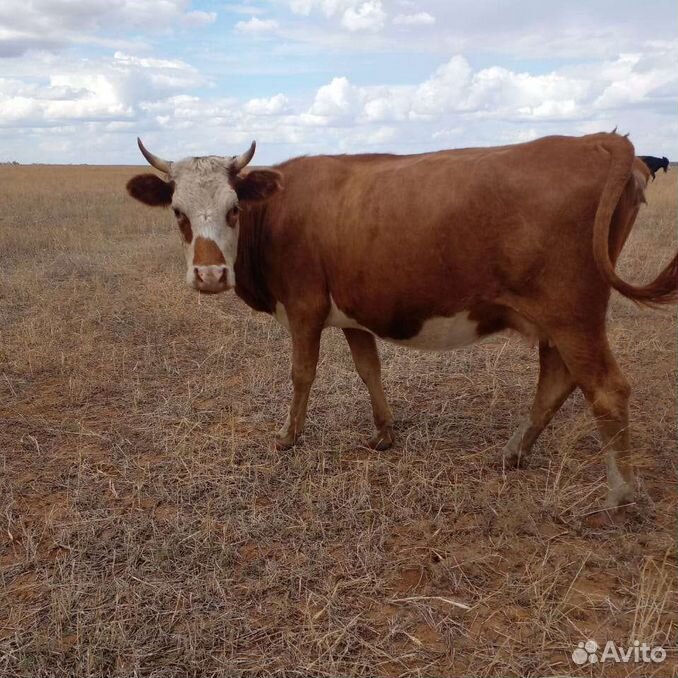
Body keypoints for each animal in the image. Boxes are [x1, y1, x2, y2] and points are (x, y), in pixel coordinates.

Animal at [126, 132, 677, 511]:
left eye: (234, 208)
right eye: (177, 211)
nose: (210, 275)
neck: (278, 209)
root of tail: (598, 141)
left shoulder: (304, 308)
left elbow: (302, 374)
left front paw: (288, 438)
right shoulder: (351, 314)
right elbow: (369, 369)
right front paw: (384, 433)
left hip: (573, 316)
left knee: (605, 389)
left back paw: (621, 492)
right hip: (556, 321)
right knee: (557, 379)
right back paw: (514, 452)